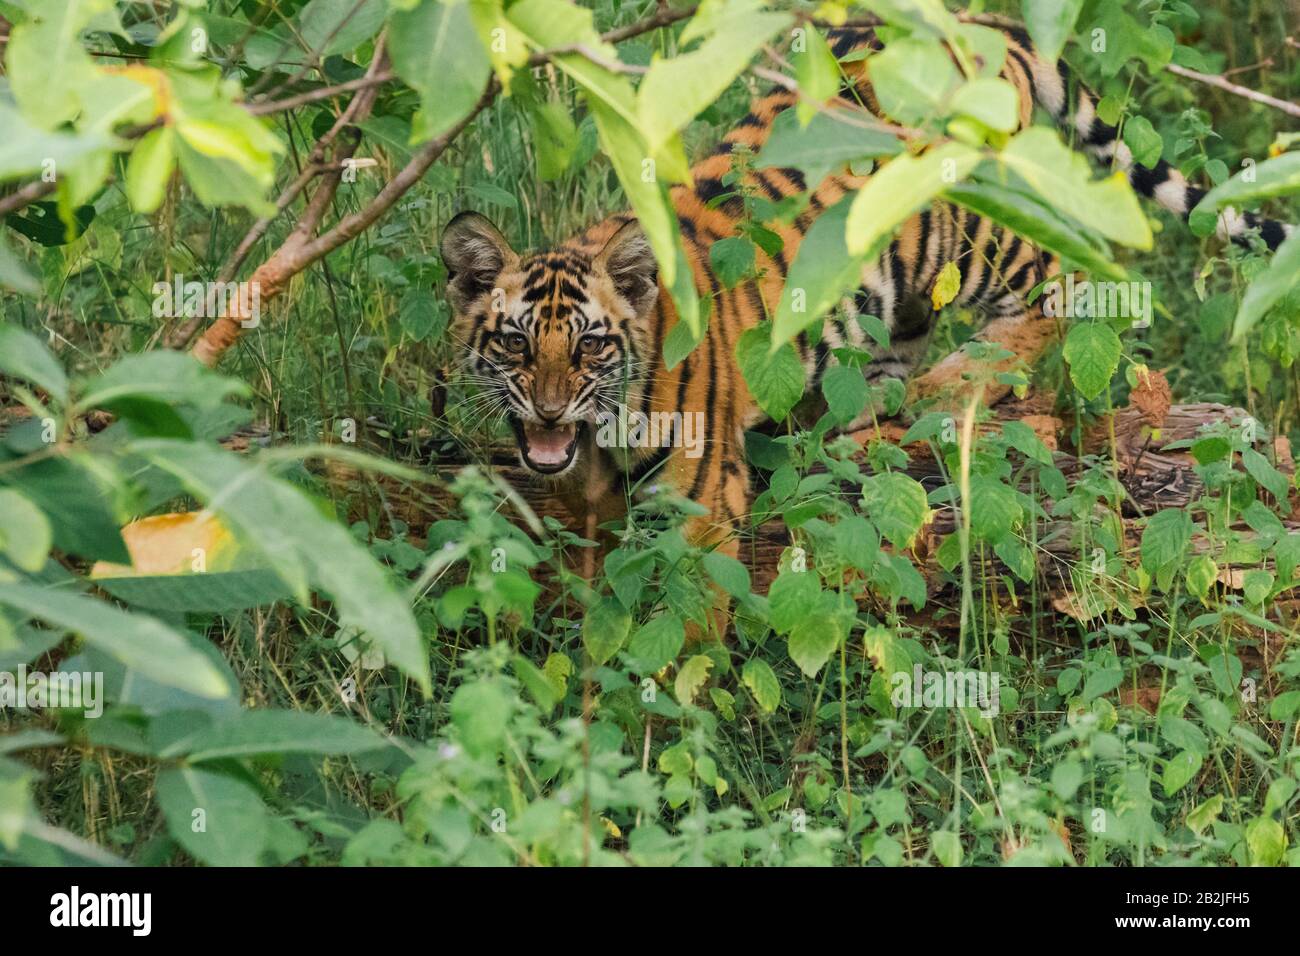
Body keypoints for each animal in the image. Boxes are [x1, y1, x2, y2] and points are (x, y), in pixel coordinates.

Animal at [438, 16, 1292, 638]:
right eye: (515, 342)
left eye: (590, 344)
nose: (550, 410)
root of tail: (981, 23)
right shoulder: (591, 504)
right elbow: (600, 601)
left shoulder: (707, 503)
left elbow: (690, 618)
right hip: (897, 283)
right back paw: (870, 425)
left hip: (973, 231)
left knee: (1067, 282)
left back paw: (959, 384)